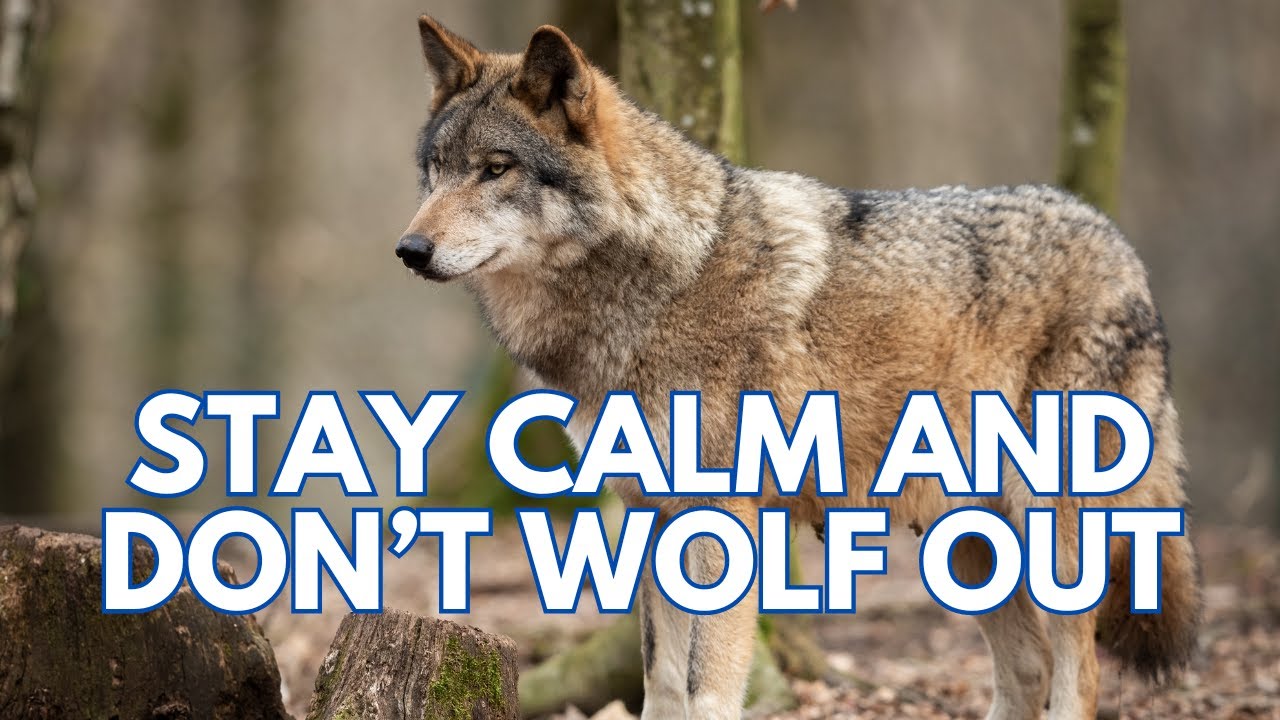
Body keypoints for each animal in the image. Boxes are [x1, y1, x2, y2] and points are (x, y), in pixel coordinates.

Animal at [396, 16, 1201, 720]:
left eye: (495, 170)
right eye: (434, 172)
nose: (408, 250)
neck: (655, 286)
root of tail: (1120, 244)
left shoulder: (725, 520)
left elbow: (708, 691)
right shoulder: (651, 518)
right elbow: (662, 685)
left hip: (1051, 529)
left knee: (1079, 672)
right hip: (969, 546)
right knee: (1027, 669)